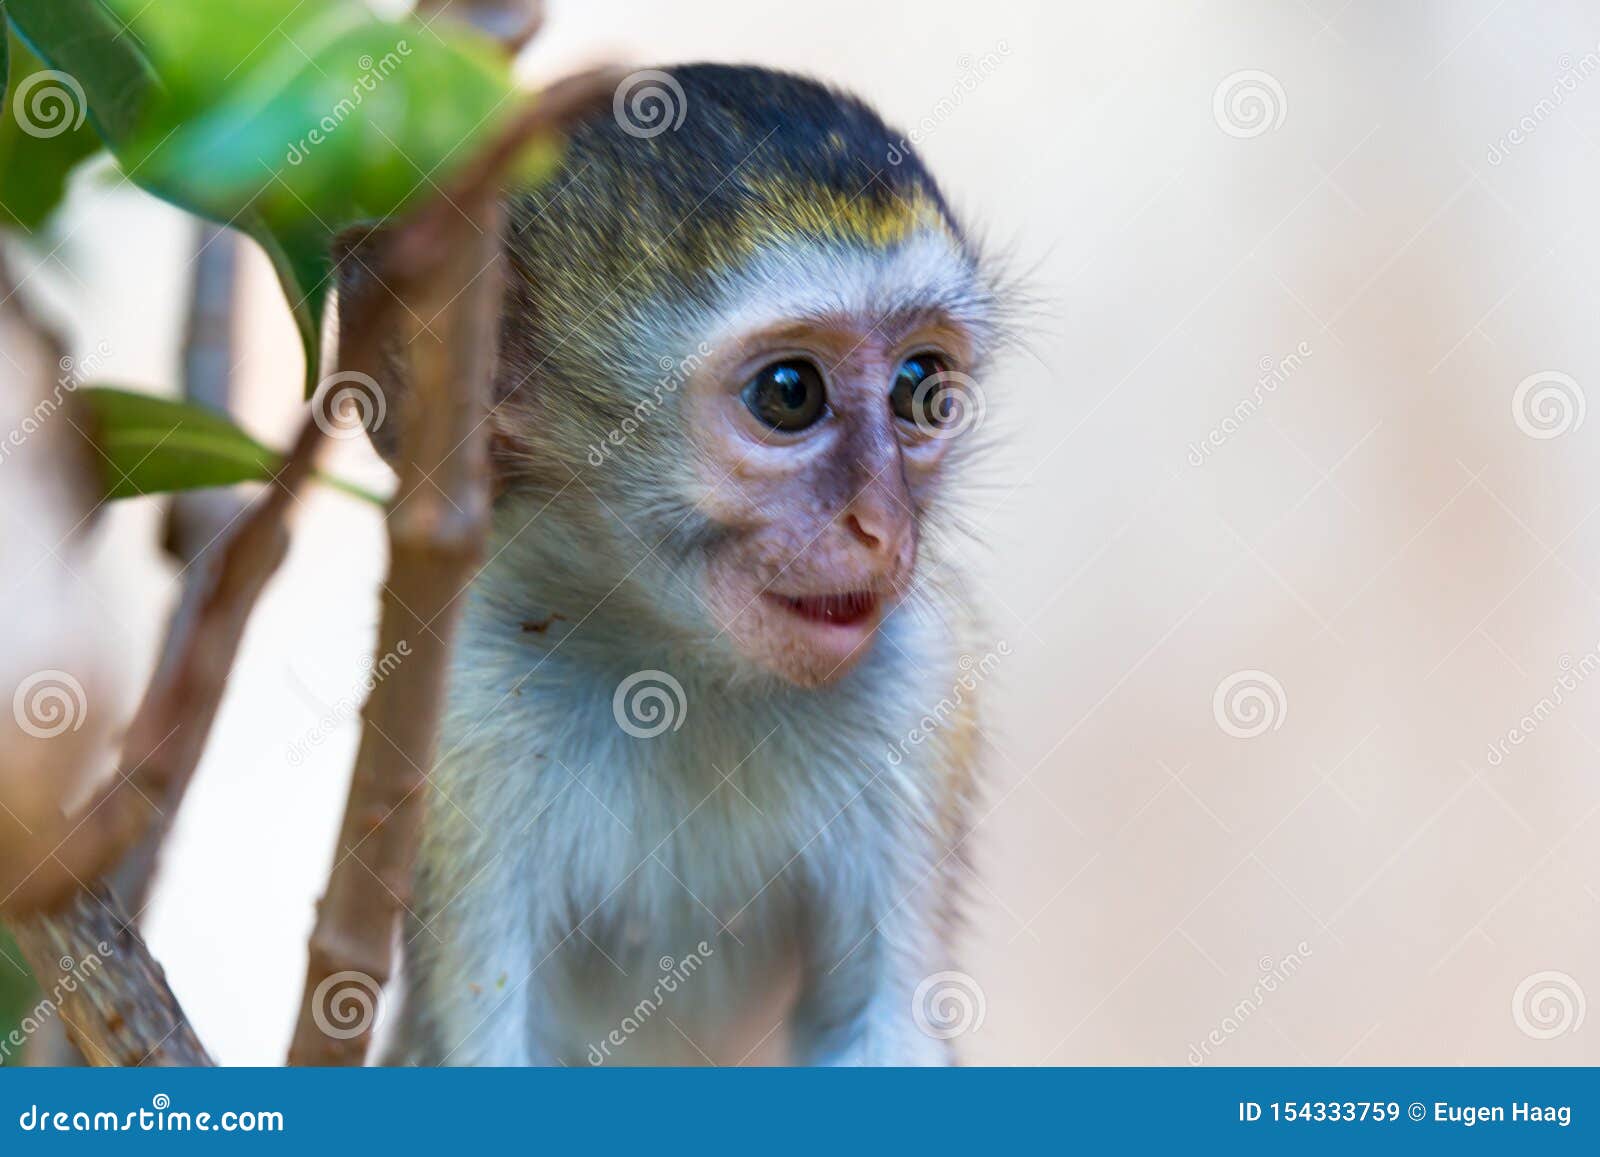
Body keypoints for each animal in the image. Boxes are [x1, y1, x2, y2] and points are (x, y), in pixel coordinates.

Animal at [341, 63, 1001, 1066]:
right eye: (789, 392)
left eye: (919, 386)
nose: (882, 526)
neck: (682, 668)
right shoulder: (458, 710)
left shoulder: (923, 684)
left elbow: (876, 1025)